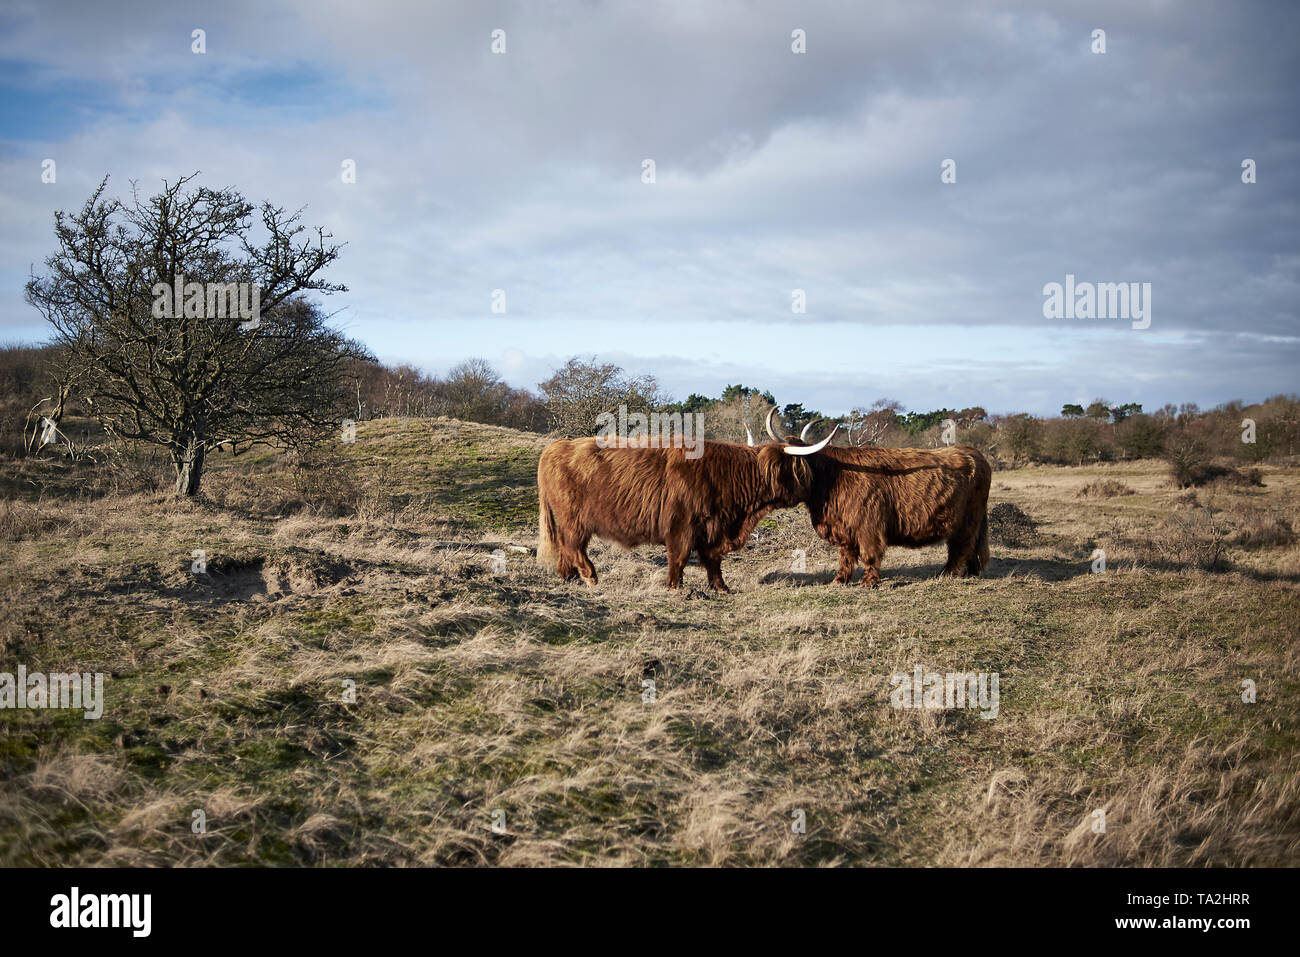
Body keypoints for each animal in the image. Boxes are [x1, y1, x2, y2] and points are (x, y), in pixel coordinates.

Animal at [536, 427, 834, 592]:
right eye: (807, 466)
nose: (819, 486)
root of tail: (557, 446)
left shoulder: (714, 529)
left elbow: (713, 561)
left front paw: (722, 588)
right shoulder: (682, 525)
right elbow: (679, 558)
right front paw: (675, 587)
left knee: (565, 546)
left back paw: (569, 577)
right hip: (575, 520)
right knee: (573, 546)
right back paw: (590, 577)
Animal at [763, 410, 992, 587]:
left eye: (779, 464)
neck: (831, 478)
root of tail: (973, 453)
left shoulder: (868, 526)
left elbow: (869, 554)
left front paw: (869, 582)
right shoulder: (845, 528)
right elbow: (846, 557)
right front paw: (839, 580)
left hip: (967, 520)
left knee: (962, 546)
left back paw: (948, 573)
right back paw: (969, 572)